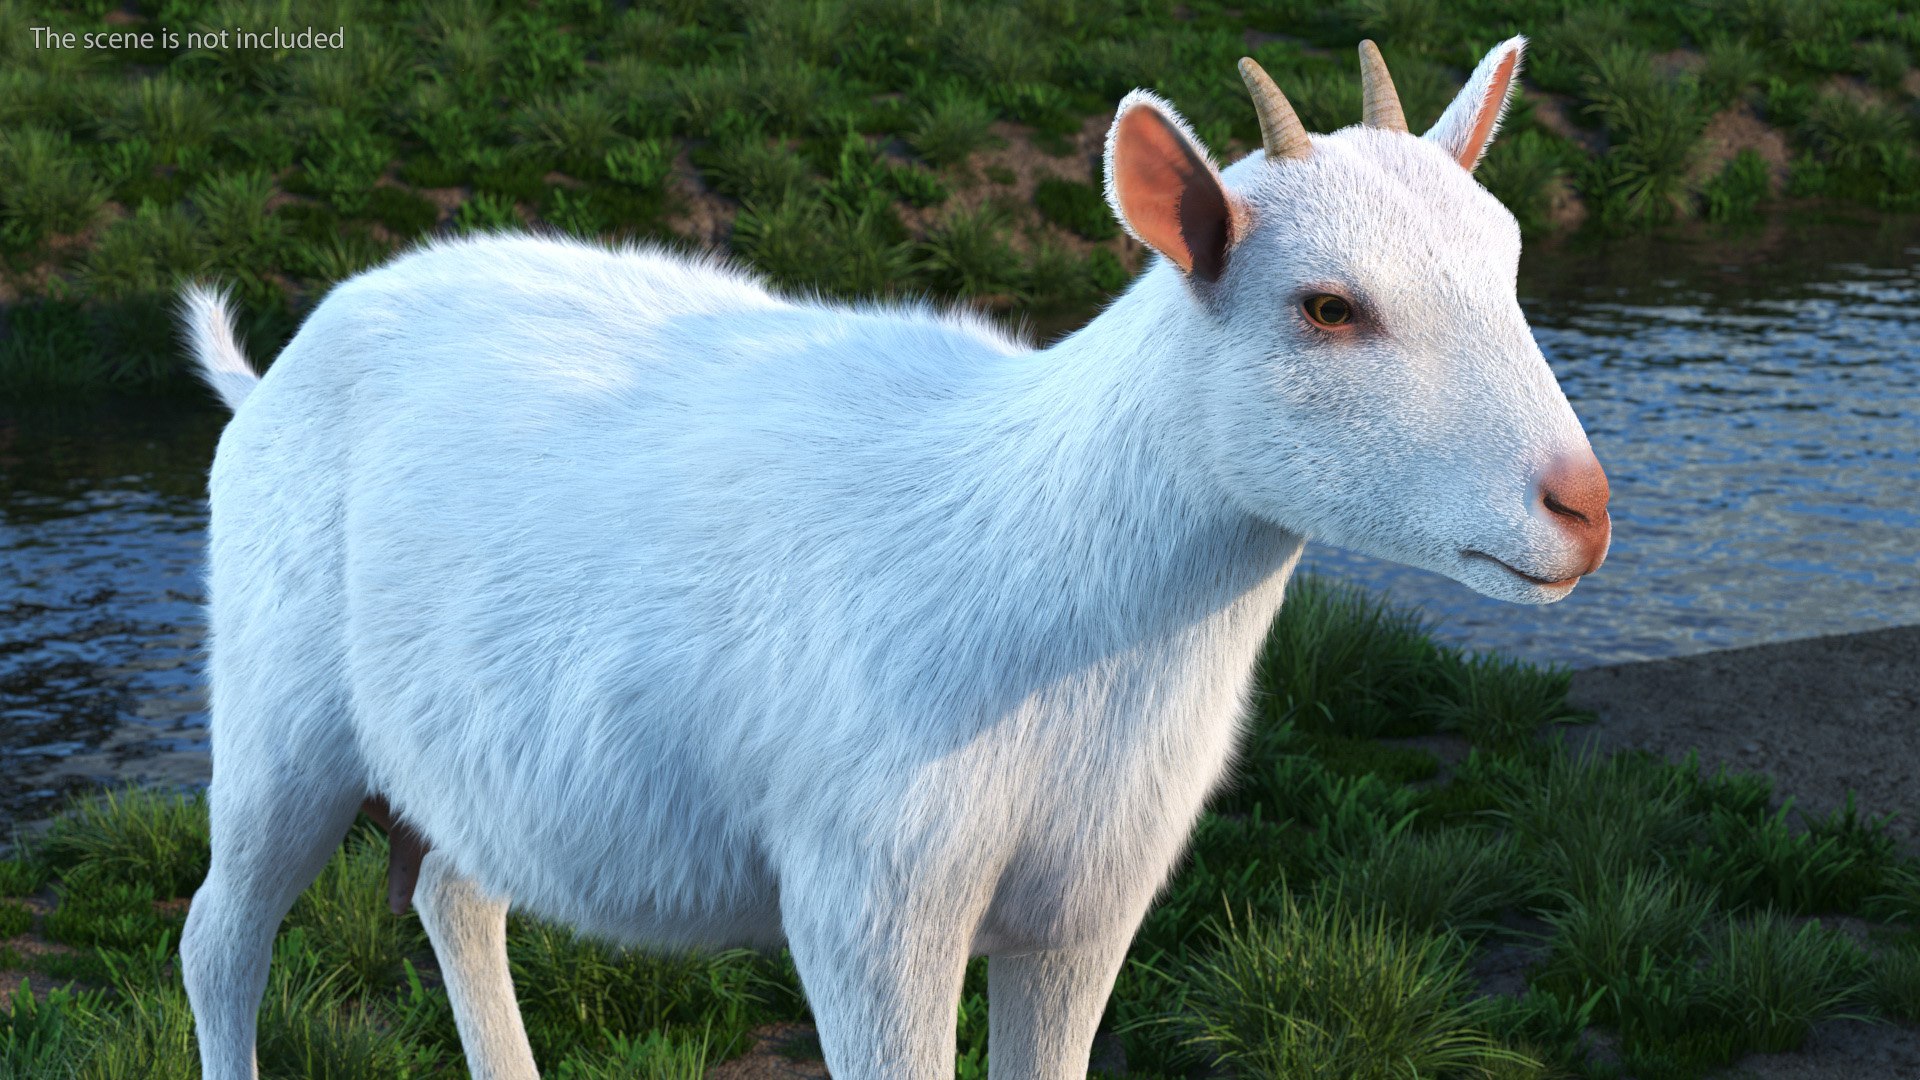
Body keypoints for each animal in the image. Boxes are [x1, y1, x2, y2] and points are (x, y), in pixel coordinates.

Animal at [180, 37, 1607, 1080]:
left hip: (466, 741)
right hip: (277, 713)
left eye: (1511, 259)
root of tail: (268, 375)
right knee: (218, 938)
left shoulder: (1091, 904)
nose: (1583, 510)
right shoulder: (868, 897)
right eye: (1328, 306)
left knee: (456, 895)